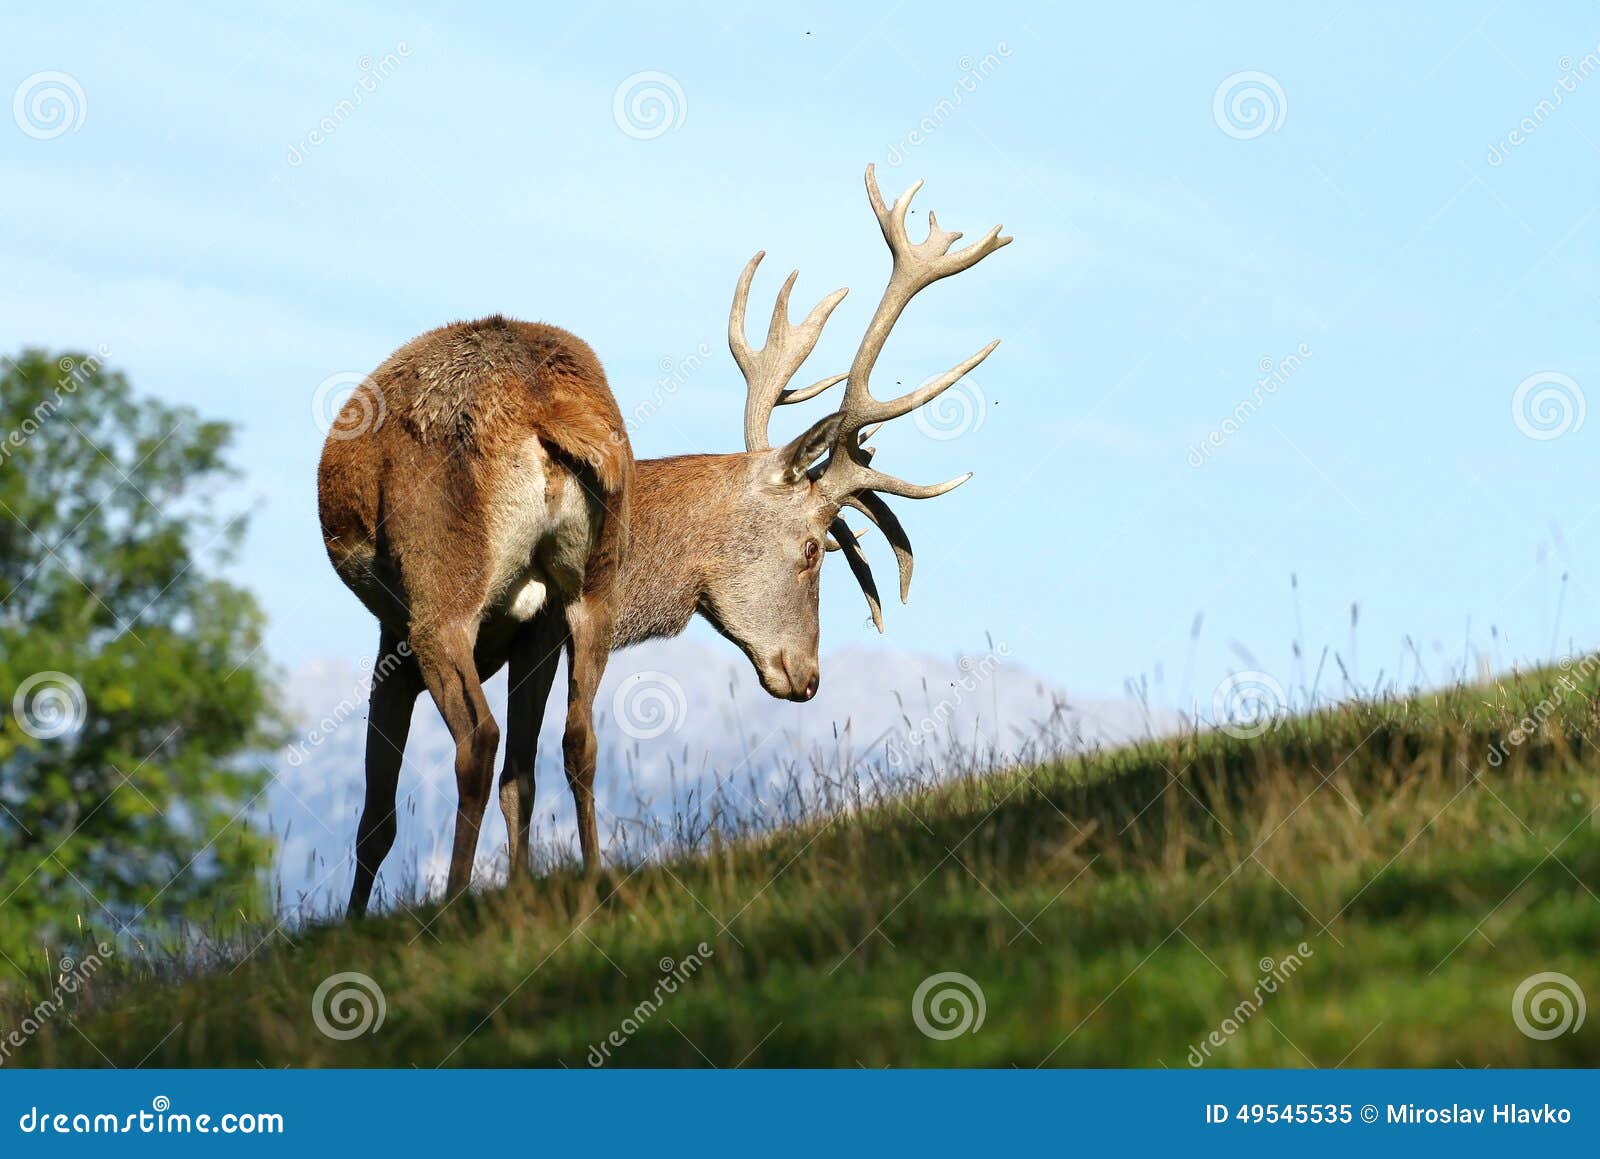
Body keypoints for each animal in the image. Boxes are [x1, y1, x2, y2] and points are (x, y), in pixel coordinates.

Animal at [318, 164, 1009, 917]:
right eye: (812, 549)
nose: (810, 677)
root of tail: (547, 412)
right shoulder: (530, 632)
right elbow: (512, 779)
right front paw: (519, 892)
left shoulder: (396, 637)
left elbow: (378, 816)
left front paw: (359, 922)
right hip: (573, 597)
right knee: (569, 741)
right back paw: (585, 881)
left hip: (439, 596)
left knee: (480, 741)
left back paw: (455, 904)